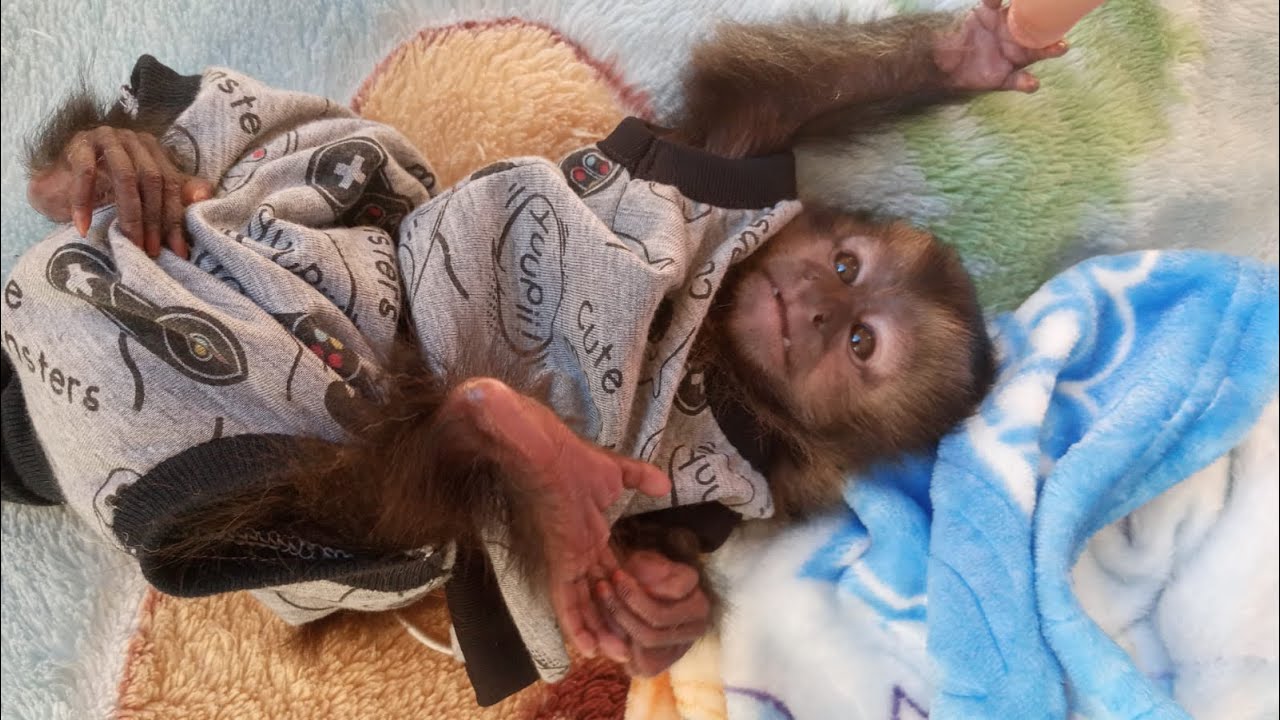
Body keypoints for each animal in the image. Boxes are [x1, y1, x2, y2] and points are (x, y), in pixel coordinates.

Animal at [4, 0, 1063, 698]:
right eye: (845, 269)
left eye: (858, 343)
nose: (802, 307)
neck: (725, 359)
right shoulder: (722, 168)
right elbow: (765, 100)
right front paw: (970, 51)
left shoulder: (739, 490)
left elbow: (659, 551)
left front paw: (661, 612)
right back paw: (103, 162)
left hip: (280, 486)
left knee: (386, 495)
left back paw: (506, 441)